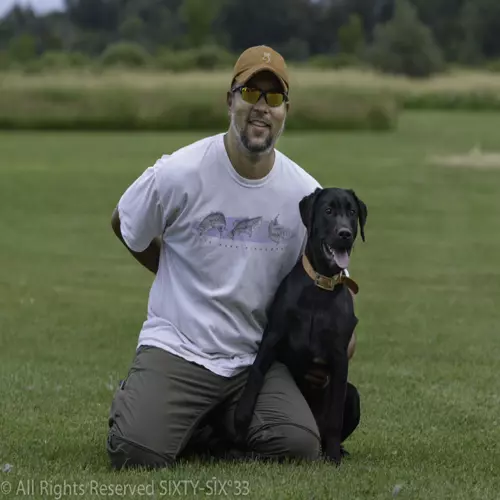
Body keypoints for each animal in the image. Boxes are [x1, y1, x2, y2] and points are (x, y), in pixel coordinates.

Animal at [234, 188, 368, 464]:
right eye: (328, 210)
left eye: (352, 212)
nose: (345, 234)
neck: (320, 287)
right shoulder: (271, 339)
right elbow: (253, 380)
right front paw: (239, 438)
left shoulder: (339, 357)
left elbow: (335, 418)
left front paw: (334, 460)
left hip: (353, 395)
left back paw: (334, 451)